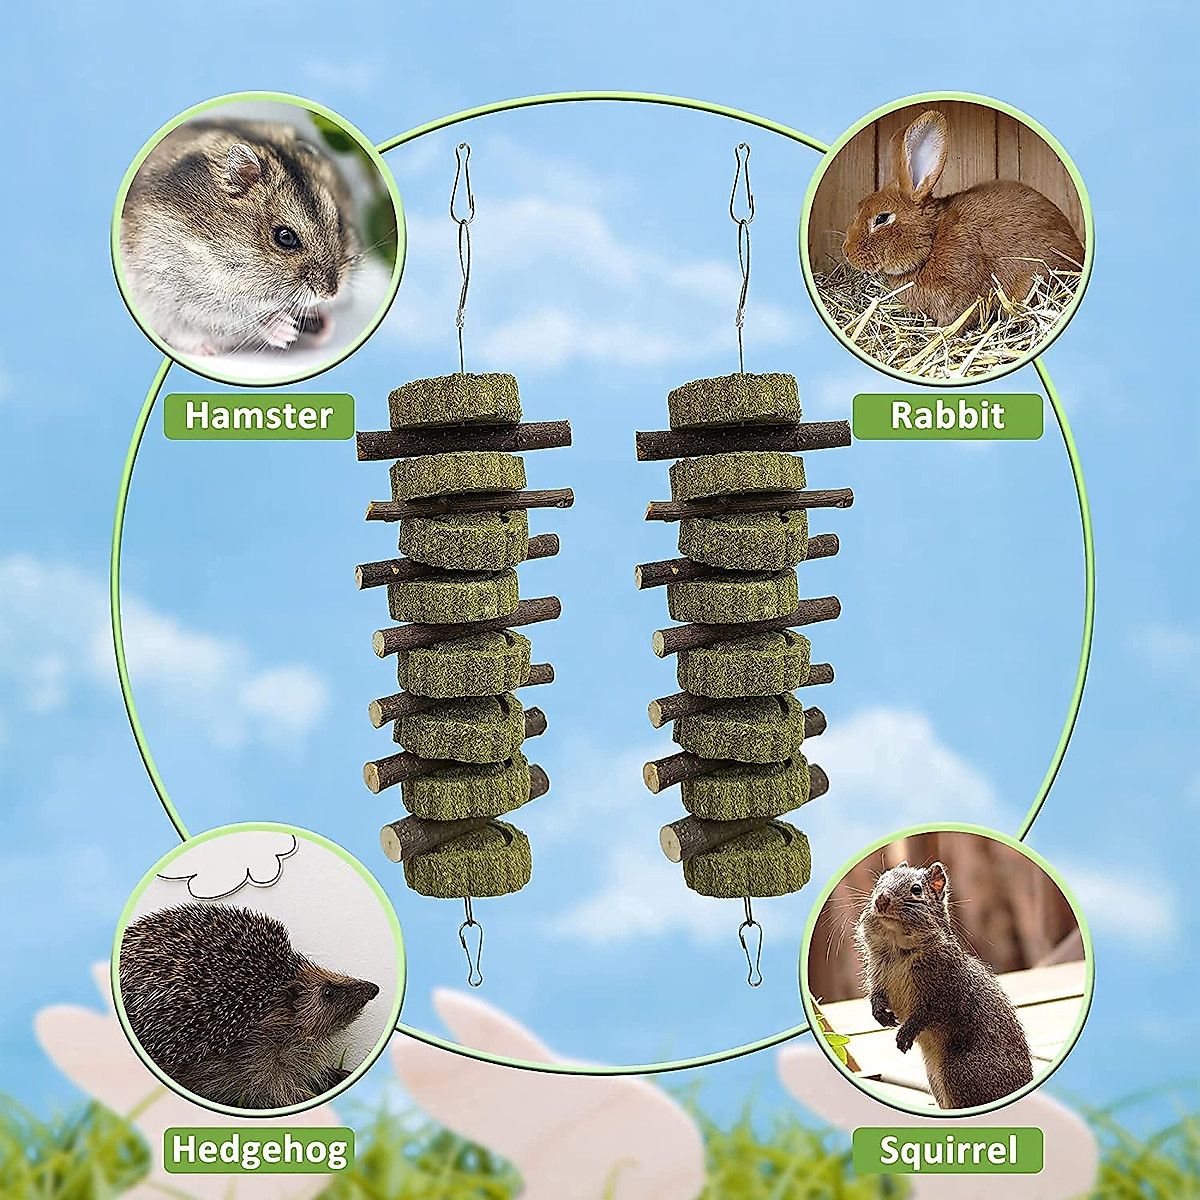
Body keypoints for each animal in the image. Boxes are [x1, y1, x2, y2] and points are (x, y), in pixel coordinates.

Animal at [119, 119, 359, 356]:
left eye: (339, 222)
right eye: (285, 237)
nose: (330, 293)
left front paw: (325, 325)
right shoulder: (195, 294)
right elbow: (242, 316)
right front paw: (286, 329)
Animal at [855, 860, 1034, 1109]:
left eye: (916, 889)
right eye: (879, 881)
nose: (881, 899)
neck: (898, 950)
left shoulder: (949, 992)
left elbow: (929, 1013)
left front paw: (905, 1033)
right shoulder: (878, 973)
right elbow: (877, 995)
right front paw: (880, 1012)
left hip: (960, 1073)